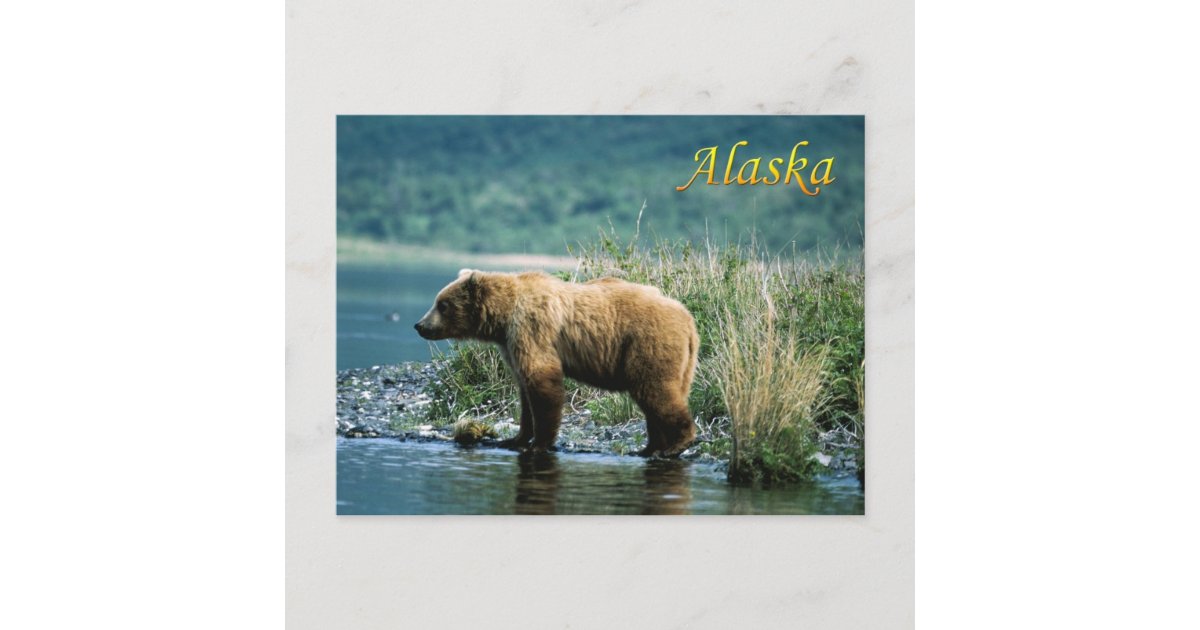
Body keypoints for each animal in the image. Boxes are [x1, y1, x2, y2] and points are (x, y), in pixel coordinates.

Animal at [415, 269, 699, 457]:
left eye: (443, 304)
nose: (420, 325)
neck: (503, 318)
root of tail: (688, 319)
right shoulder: (510, 344)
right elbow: (525, 393)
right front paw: (516, 438)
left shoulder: (531, 328)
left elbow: (542, 381)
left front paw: (539, 443)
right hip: (681, 361)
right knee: (659, 398)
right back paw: (648, 449)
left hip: (648, 344)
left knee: (655, 391)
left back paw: (677, 443)